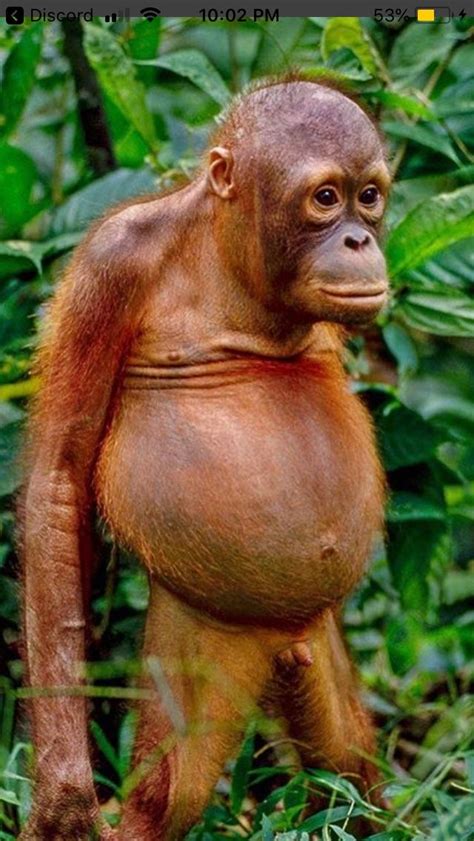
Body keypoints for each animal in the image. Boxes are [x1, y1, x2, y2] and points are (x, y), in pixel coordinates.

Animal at [19, 75, 390, 840]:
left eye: (369, 195)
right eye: (326, 197)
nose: (360, 237)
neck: (228, 258)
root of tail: (277, 644)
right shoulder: (111, 262)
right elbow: (59, 479)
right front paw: (64, 797)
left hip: (316, 652)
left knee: (352, 774)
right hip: (203, 648)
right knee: (161, 798)